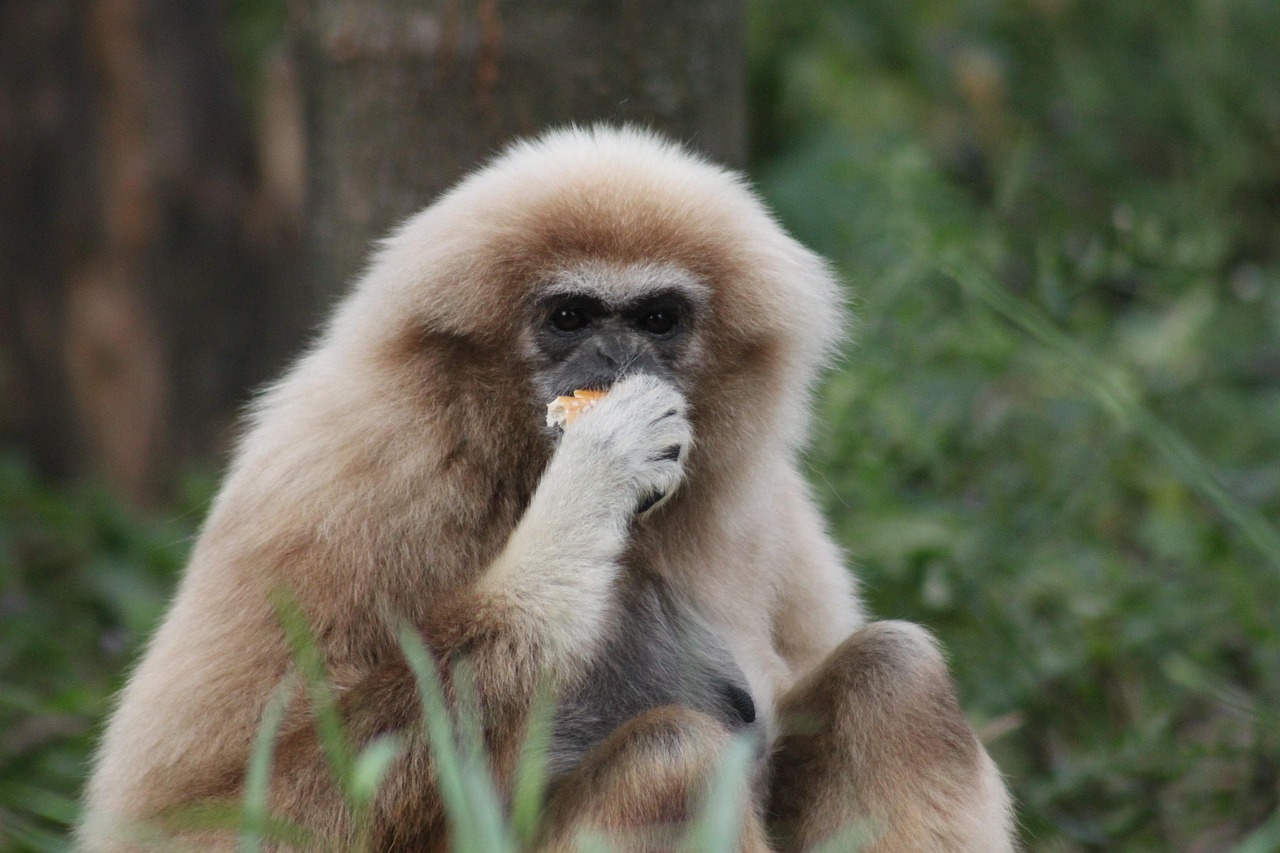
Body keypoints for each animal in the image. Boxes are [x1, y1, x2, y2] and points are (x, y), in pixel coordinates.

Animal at [79, 126, 1014, 851]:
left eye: (658, 320)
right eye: (569, 317)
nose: (614, 361)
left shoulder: (765, 491)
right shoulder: (339, 470)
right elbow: (197, 814)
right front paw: (587, 491)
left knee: (895, 670)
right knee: (673, 755)